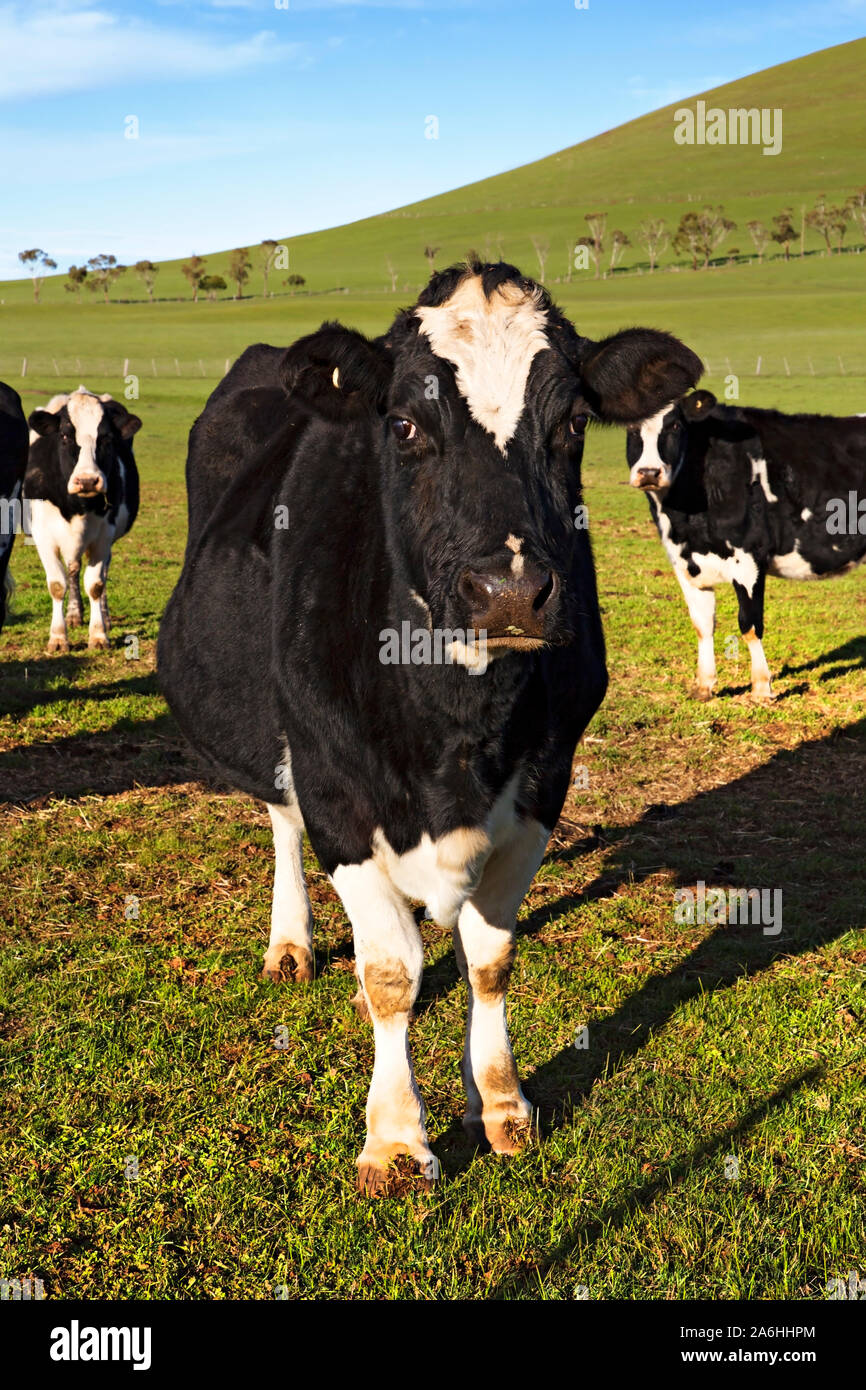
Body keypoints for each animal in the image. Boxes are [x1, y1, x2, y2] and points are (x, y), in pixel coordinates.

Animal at [24, 386, 141, 652]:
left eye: (106, 438)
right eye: (66, 435)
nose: (87, 481)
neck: (78, 506)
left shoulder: (103, 536)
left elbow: (96, 584)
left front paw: (98, 635)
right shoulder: (43, 536)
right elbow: (58, 585)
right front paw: (58, 637)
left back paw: (104, 617)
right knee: (72, 569)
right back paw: (74, 614)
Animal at [158, 261, 701, 1193]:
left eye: (573, 424)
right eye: (405, 424)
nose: (511, 591)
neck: (459, 727)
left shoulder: (544, 785)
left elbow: (488, 955)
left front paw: (503, 1101)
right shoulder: (336, 791)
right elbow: (391, 972)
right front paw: (396, 1138)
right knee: (281, 823)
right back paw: (293, 943)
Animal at [626, 390, 866, 701]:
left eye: (675, 425)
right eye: (631, 428)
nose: (649, 472)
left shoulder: (748, 557)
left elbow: (750, 624)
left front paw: (762, 688)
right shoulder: (684, 563)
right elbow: (702, 624)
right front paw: (703, 685)